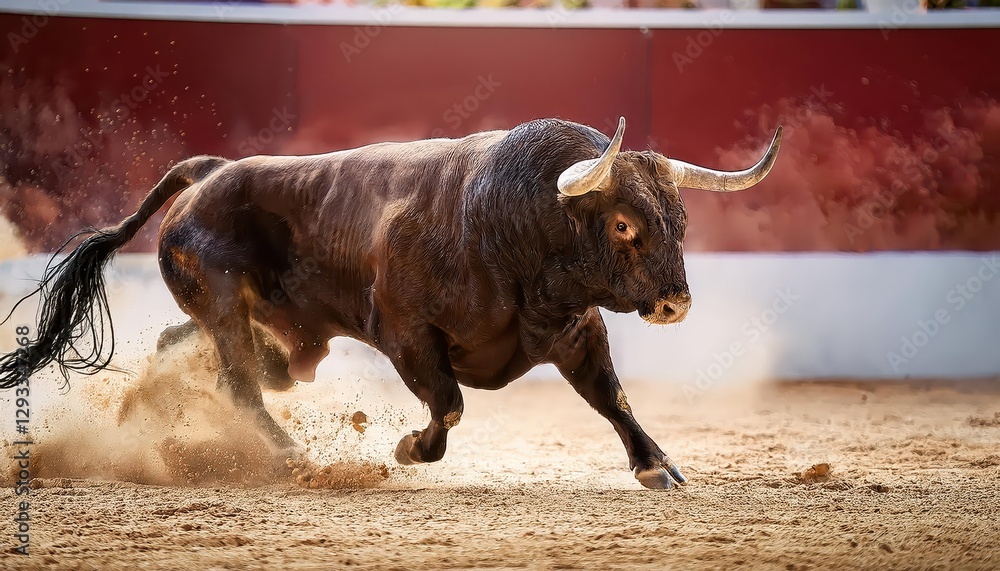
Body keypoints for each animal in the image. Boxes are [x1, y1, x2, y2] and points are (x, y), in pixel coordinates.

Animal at [0, 117, 780, 489]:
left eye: (679, 219)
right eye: (622, 223)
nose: (676, 302)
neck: (503, 222)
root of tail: (212, 172)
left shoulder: (575, 330)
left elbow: (612, 397)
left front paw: (657, 465)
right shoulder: (405, 334)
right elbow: (450, 404)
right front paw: (410, 447)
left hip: (270, 331)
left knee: (193, 352)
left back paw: (139, 416)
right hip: (227, 311)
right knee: (241, 382)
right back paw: (289, 457)